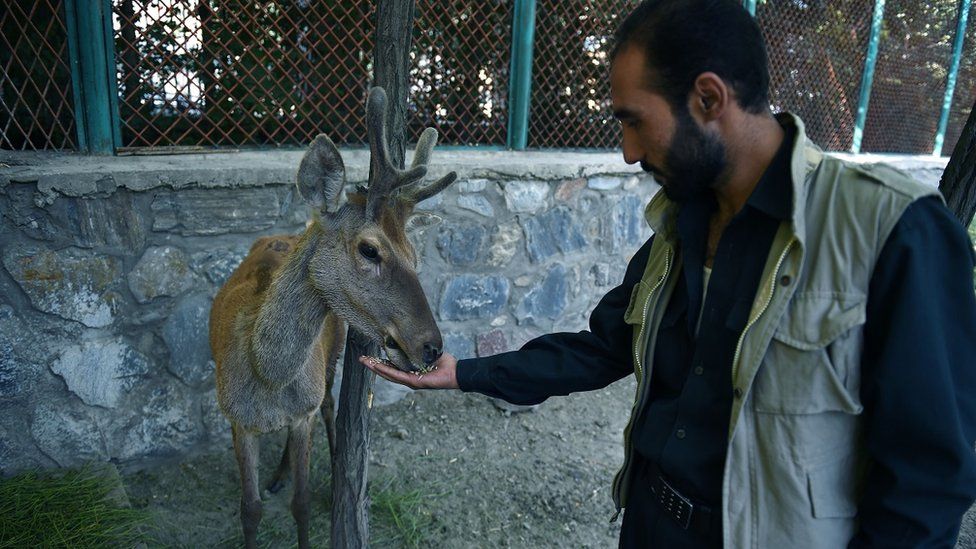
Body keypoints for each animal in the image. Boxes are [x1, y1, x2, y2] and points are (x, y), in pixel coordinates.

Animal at [208, 86, 457, 549]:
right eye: (370, 249)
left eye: (414, 255)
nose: (431, 345)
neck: (266, 378)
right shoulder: (235, 418)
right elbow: (249, 509)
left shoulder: (302, 410)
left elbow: (302, 502)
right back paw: (278, 475)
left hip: (333, 355)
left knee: (327, 405)